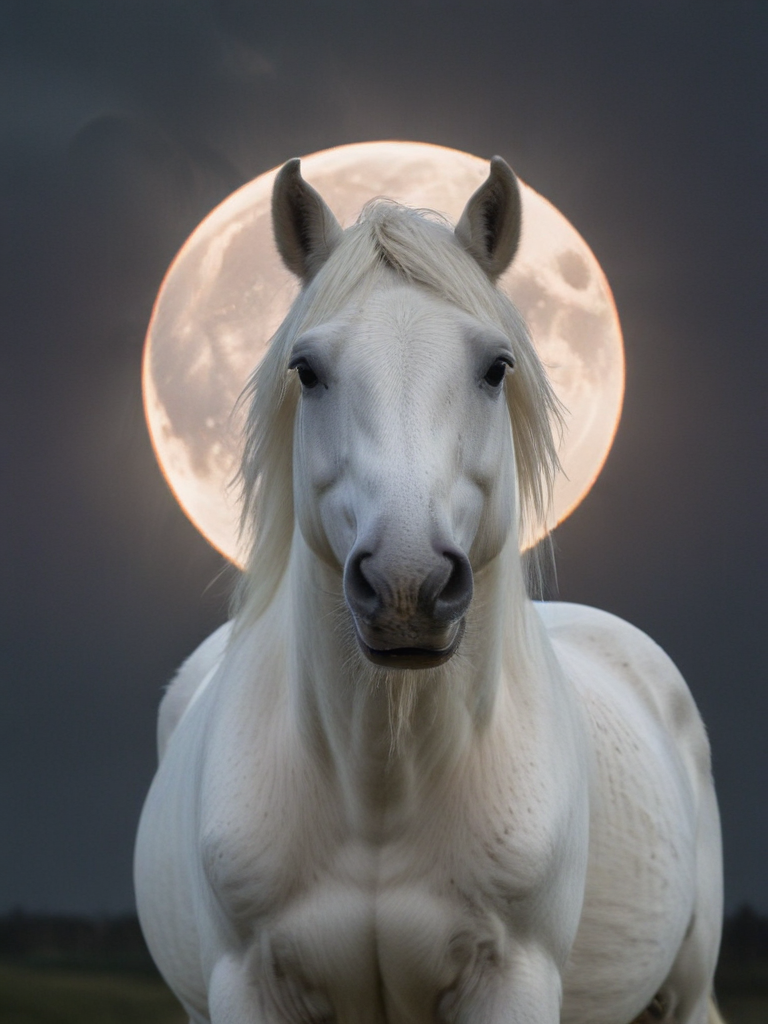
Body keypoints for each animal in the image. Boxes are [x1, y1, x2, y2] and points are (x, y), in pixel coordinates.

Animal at [134, 157, 724, 1024]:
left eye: (496, 366)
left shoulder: (510, 984)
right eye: (307, 370)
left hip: (681, 994)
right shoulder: (248, 986)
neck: (383, 783)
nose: (407, 584)